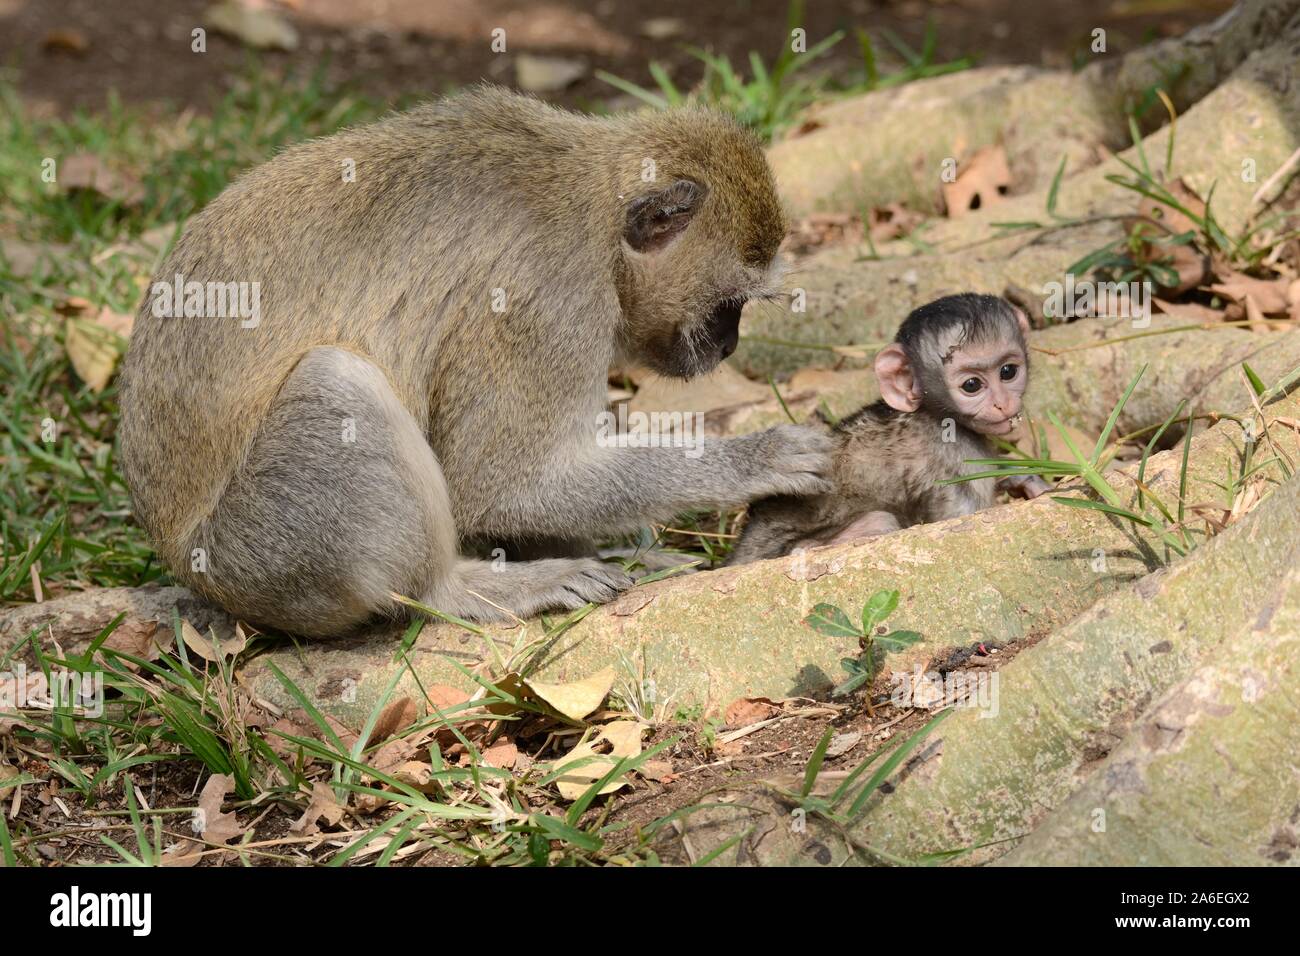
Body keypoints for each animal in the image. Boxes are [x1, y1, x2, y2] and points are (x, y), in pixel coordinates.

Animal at [117, 85, 832, 637]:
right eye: (728, 304)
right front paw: (753, 460)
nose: (728, 346)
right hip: (261, 555)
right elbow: (503, 484)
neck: (591, 205)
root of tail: (183, 559)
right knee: (337, 384)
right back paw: (453, 589)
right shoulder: (544, 299)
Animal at [727, 294, 1051, 565]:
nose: (1002, 404)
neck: (931, 413)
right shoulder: (956, 458)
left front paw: (1024, 480)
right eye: (972, 385)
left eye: (1008, 371)